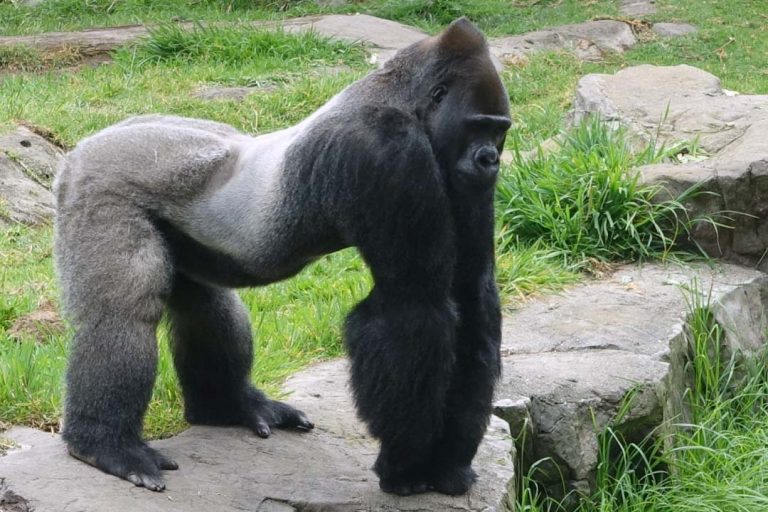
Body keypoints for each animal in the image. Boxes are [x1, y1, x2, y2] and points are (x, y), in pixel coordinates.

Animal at [53, 17, 510, 497]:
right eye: (478, 126)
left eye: (500, 130)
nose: (490, 160)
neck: (402, 98)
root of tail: (89, 141)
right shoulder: (387, 150)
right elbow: (413, 305)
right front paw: (406, 466)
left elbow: (473, 295)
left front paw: (449, 462)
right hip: (99, 182)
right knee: (122, 313)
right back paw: (105, 443)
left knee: (206, 303)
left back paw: (227, 405)